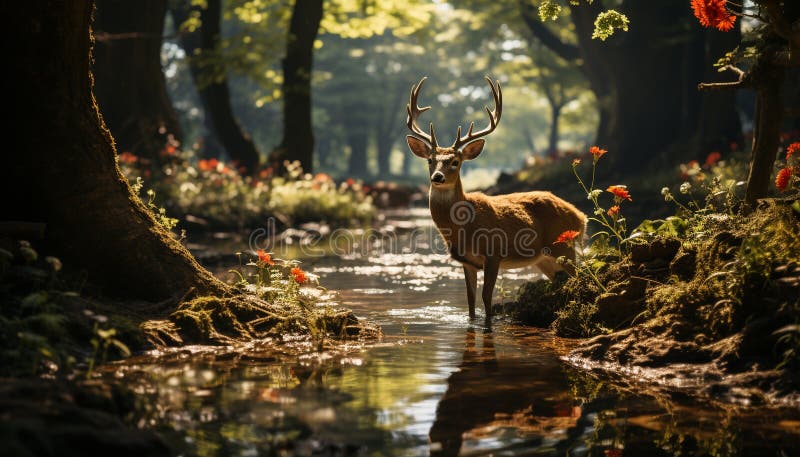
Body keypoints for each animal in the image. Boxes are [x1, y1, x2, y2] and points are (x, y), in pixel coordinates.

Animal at [405, 76, 587, 320]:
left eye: (455, 162)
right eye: (430, 160)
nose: (437, 177)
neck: (464, 227)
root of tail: (581, 217)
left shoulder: (494, 253)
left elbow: (486, 298)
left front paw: (489, 321)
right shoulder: (467, 262)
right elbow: (470, 301)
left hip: (564, 244)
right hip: (544, 258)